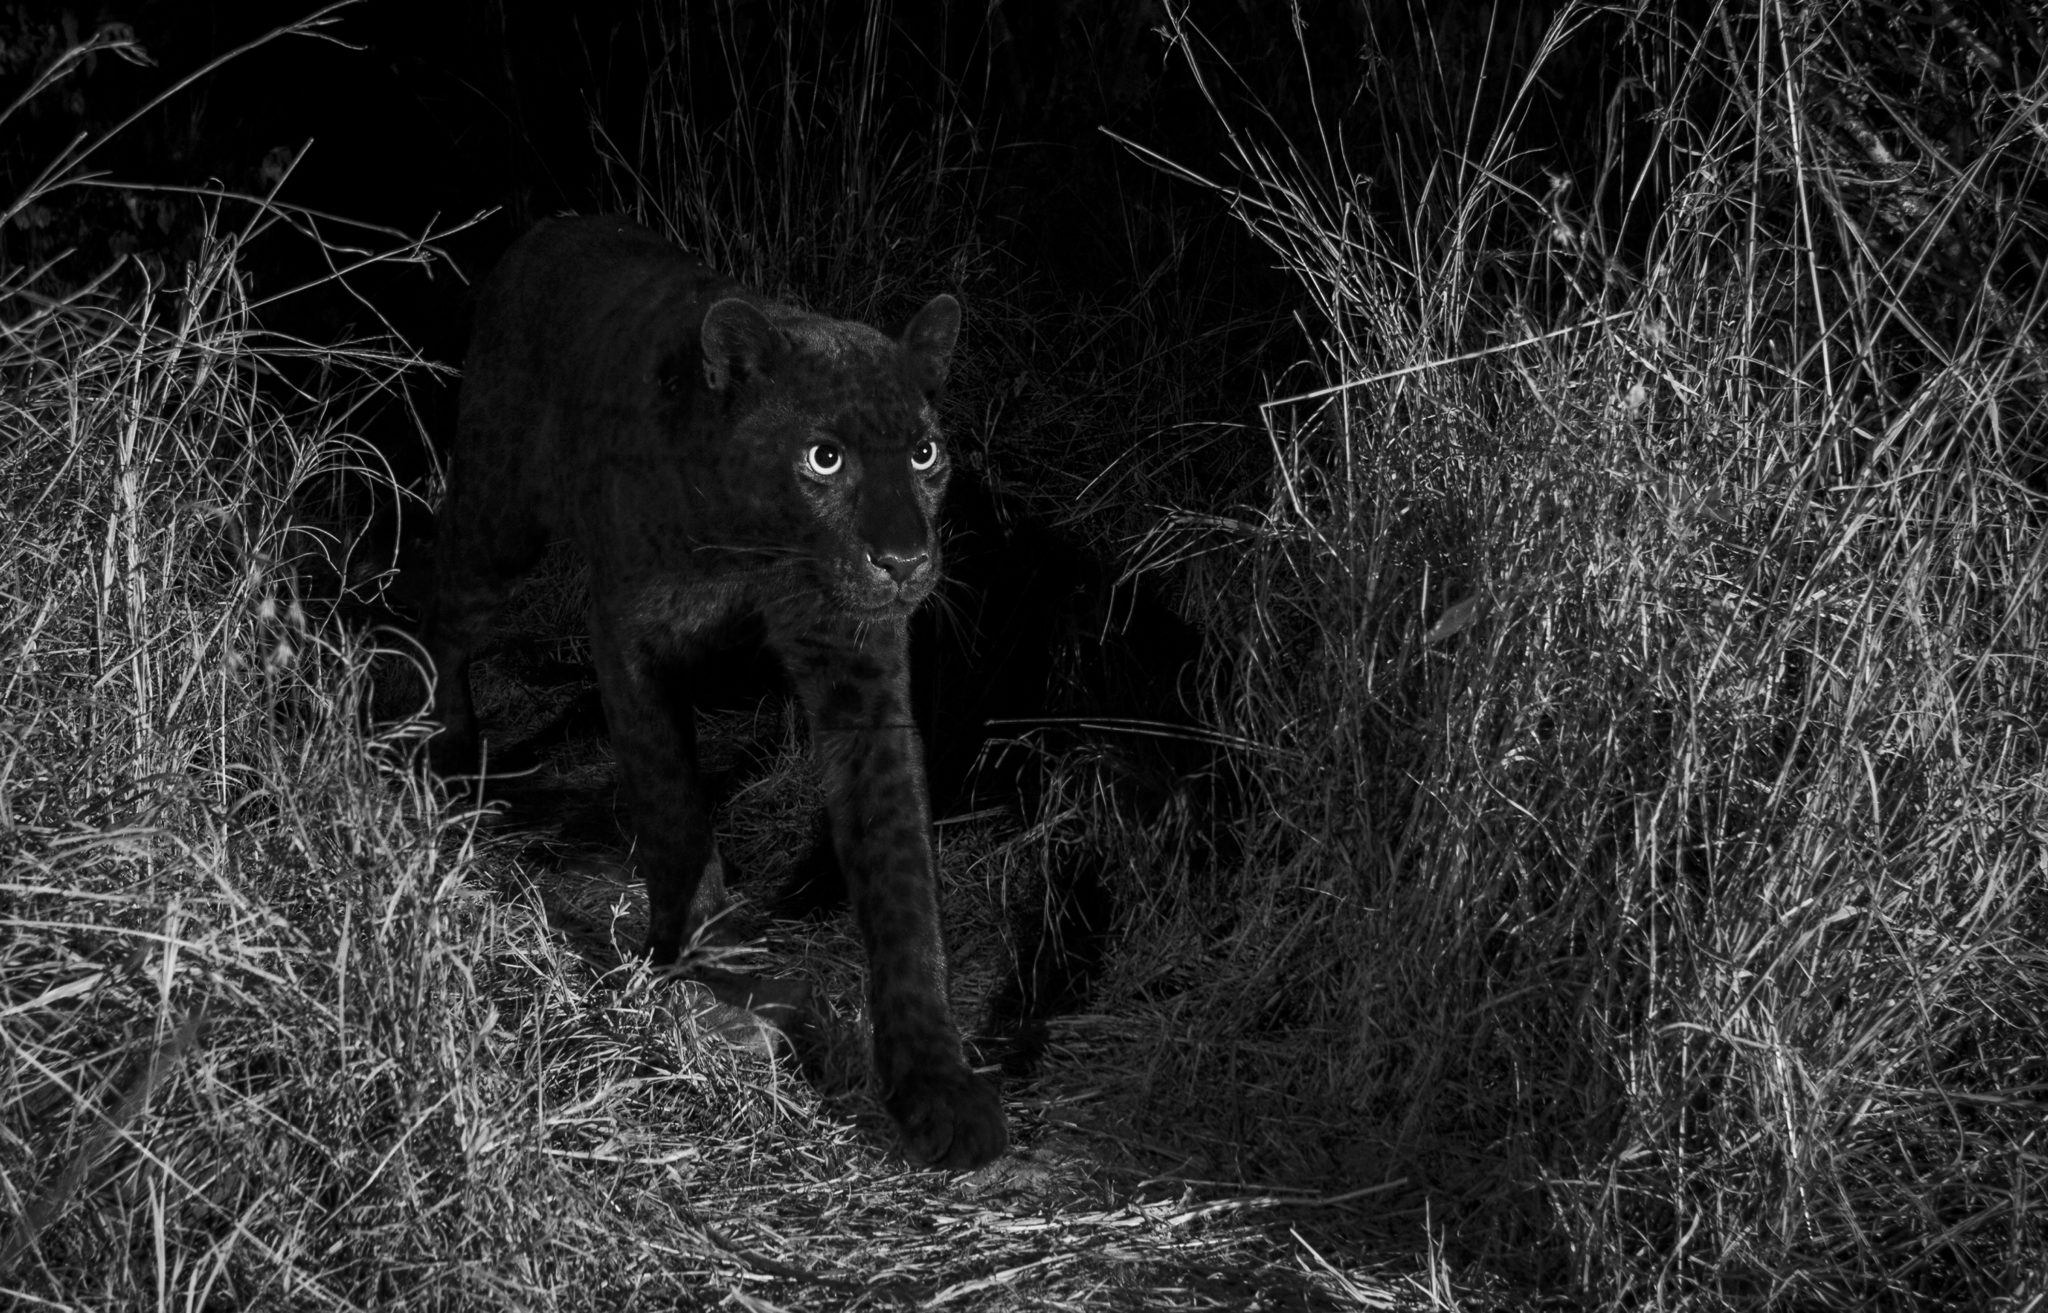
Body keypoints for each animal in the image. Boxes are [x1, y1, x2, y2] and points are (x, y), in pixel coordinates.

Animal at [418, 215, 1007, 1170]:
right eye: (823, 457)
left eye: (925, 453)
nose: (904, 559)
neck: (755, 545)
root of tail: (545, 228)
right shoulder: (629, 632)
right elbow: (670, 797)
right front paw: (698, 954)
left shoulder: (858, 669)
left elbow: (900, 875)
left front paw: (937, 1085)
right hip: (501, 518)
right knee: (437, 599)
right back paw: (442, 754)